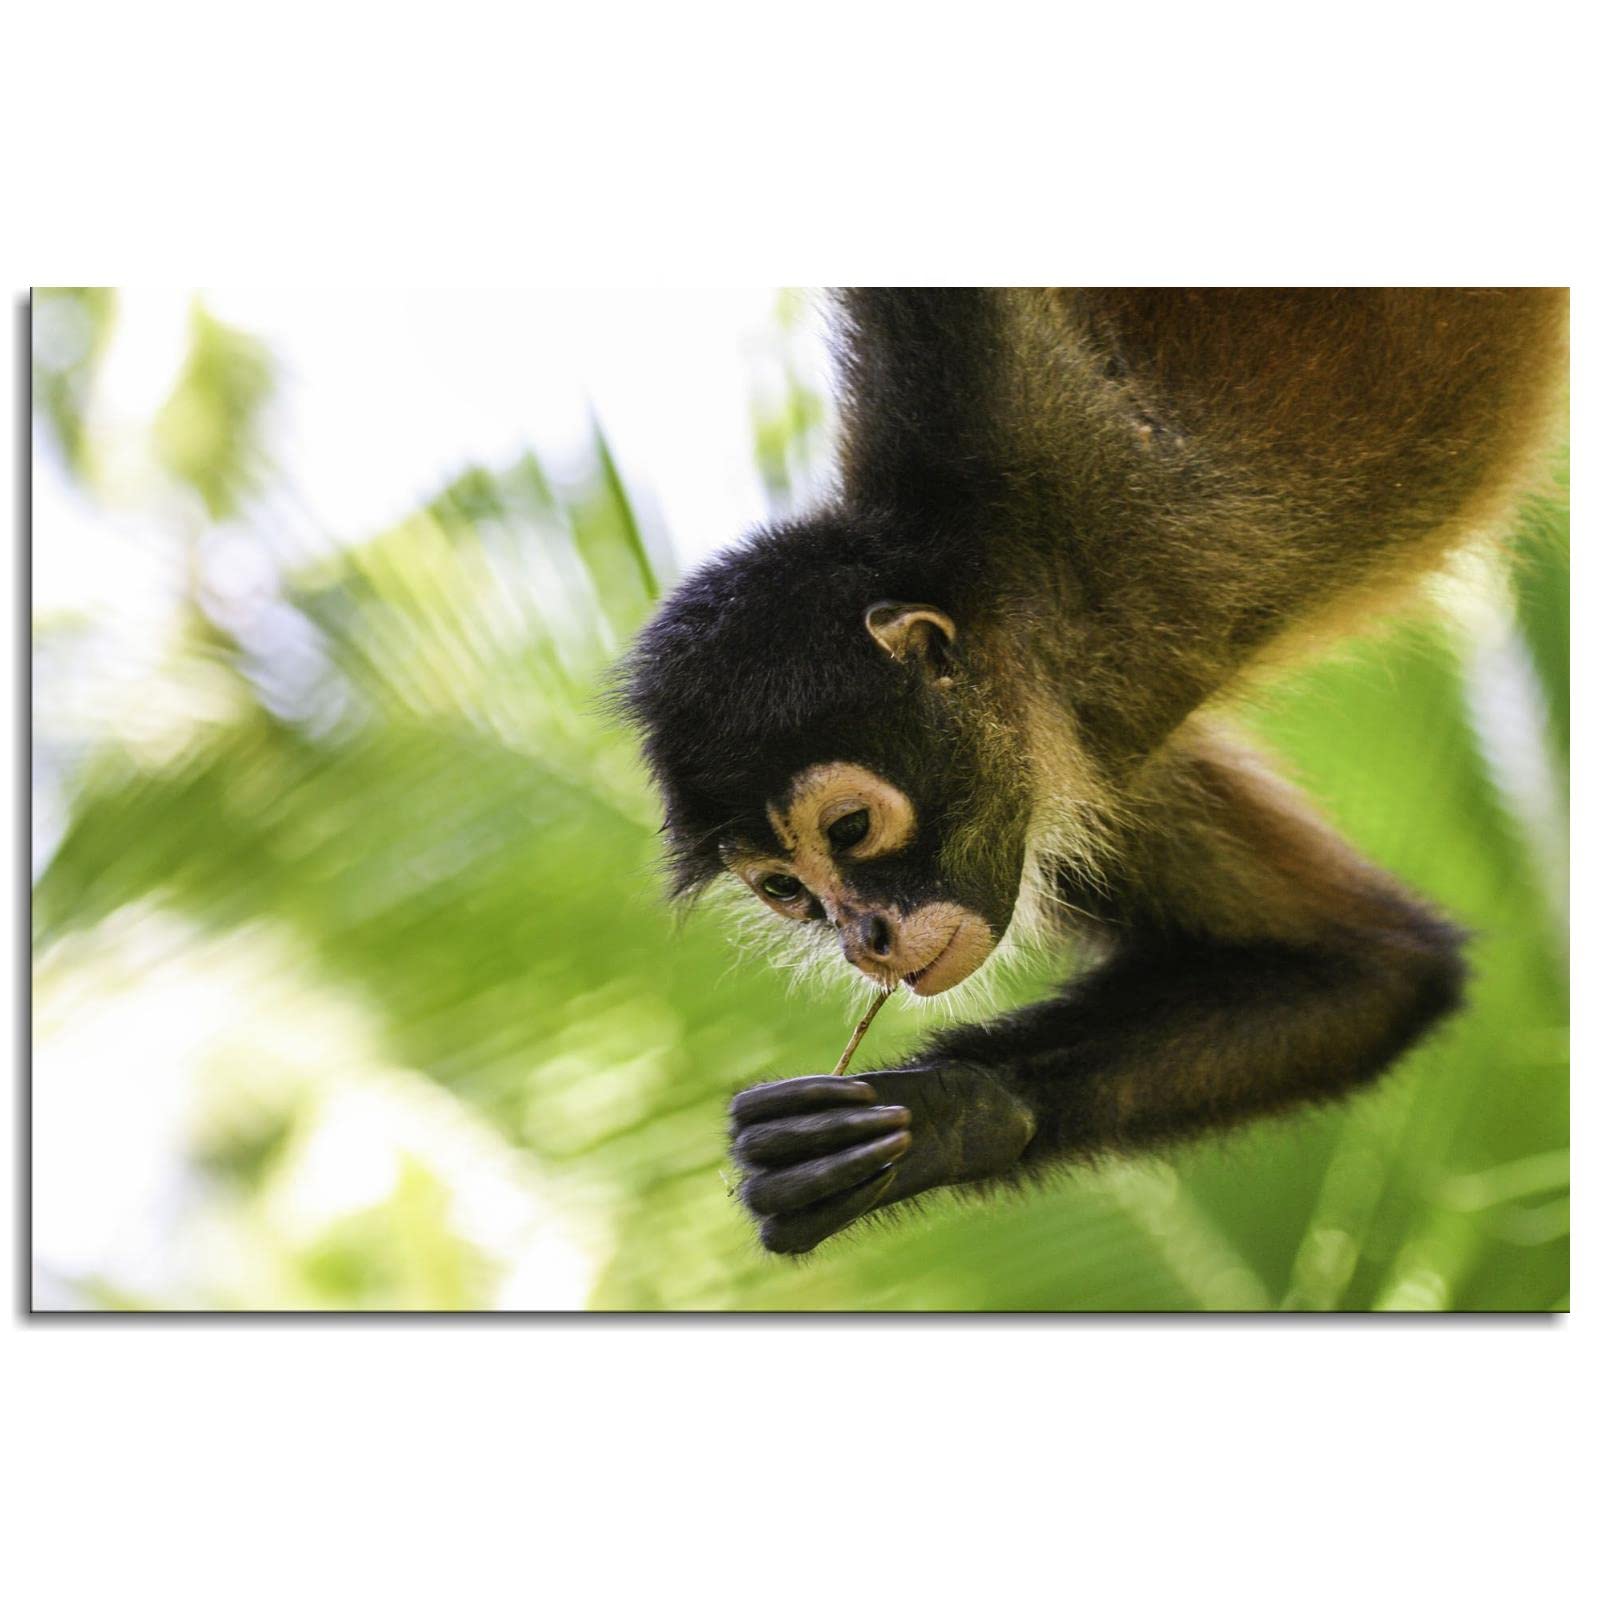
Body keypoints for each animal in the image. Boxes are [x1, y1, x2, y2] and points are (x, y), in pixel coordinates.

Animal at [616, 289, 1568, 1256]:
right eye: (786, 891)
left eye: (850, 829)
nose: (864, 939)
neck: (1028, 603)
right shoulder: (1070, 765)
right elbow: (1372, 969)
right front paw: (953, 1115)